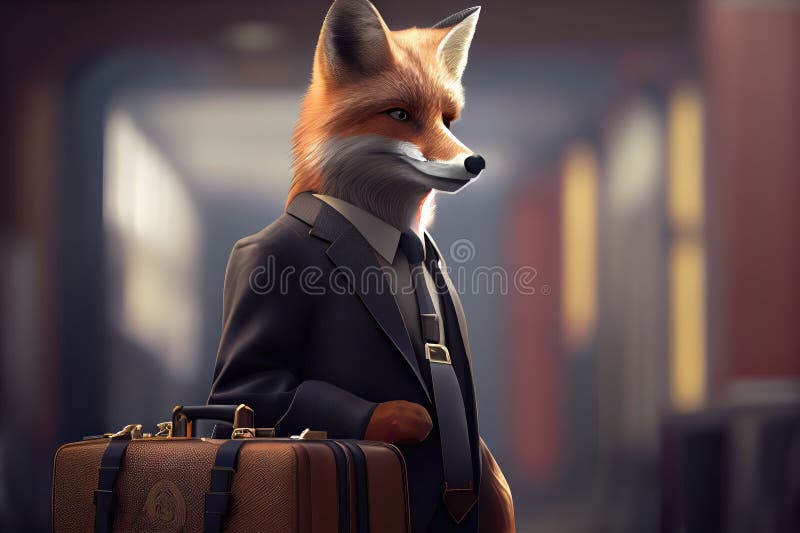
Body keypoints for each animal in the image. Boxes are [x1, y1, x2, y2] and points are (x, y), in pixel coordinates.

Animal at [209, 0, 514, 532]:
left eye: (448, 121)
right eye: (400, 115)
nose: (474, 162)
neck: (399, 239)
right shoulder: (246, 376)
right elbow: (254, 384)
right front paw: (409, 418)